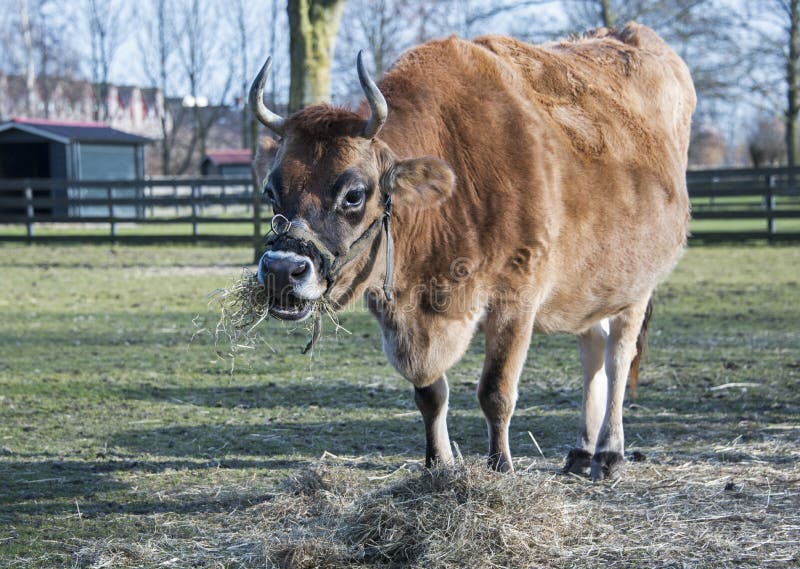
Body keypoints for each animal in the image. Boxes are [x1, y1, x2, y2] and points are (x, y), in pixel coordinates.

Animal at [250, 23, 695, 481]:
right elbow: (430, 395)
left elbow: (495, 392)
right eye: (271, 190)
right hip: (590, 283)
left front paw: (500, 468)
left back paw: (608, 453)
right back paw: (581, 451)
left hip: (636, 286)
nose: (282, 270)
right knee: (592, 349)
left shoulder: (516, 299)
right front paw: (437, 465)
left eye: (354, 194)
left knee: (618, 358)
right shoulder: (405, 315)